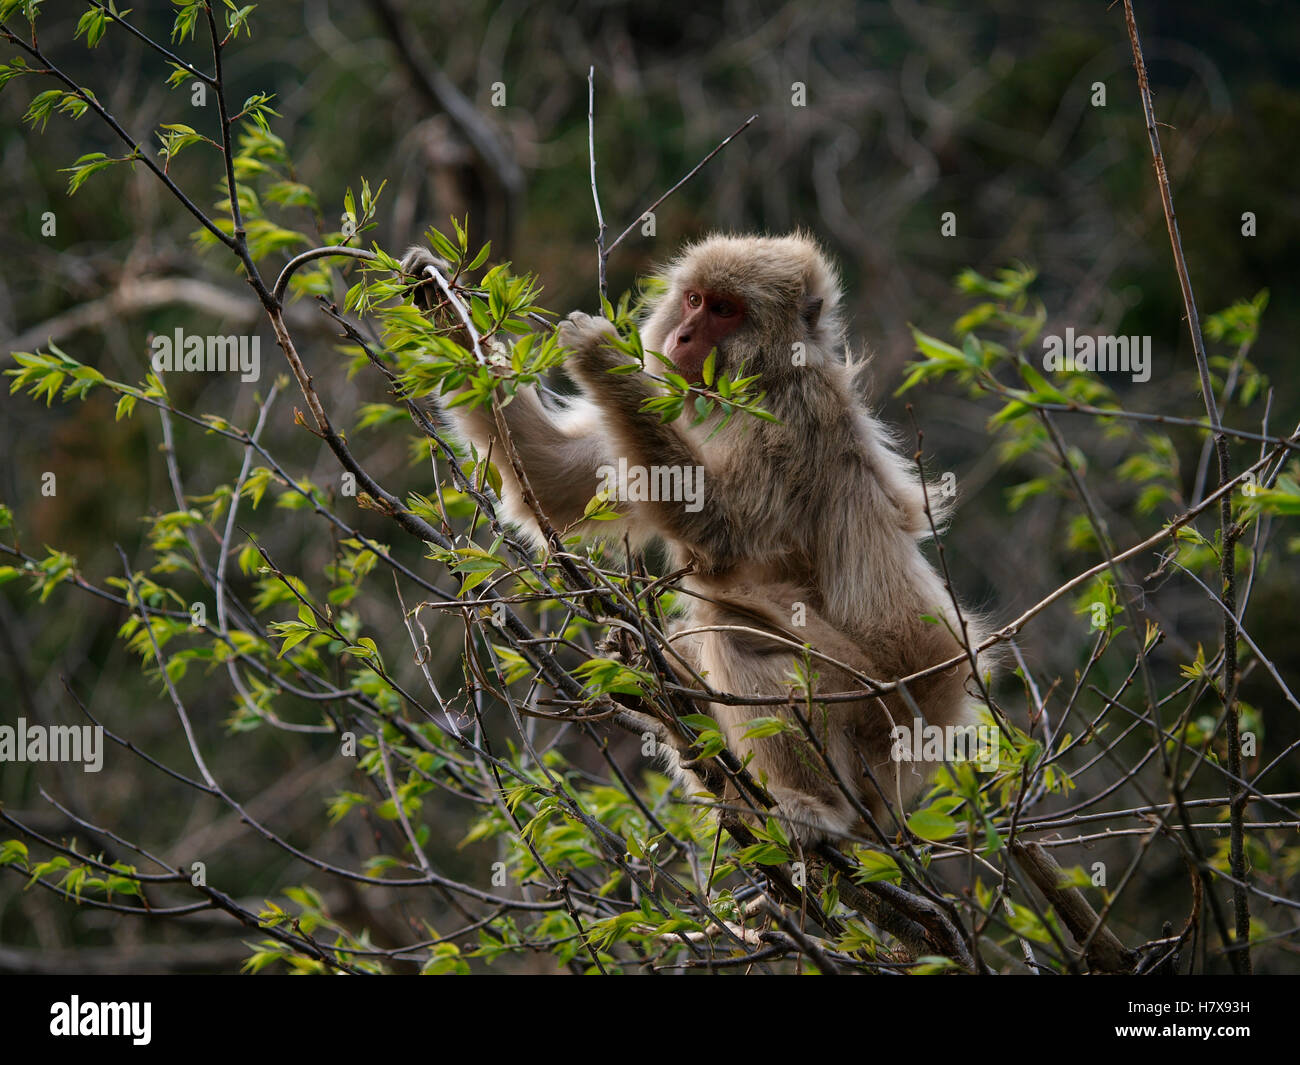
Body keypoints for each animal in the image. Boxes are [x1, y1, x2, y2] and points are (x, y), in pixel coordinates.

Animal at [402, 233, 988, 845]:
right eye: (694, 300)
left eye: (724, 310)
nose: (682, 337)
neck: (757, 378)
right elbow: (554, 481)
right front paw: (438, 301)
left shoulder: (788, 415)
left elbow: (722, 527)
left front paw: (600, 357)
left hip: (876, 705)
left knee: (736, 631)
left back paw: (816, 806)